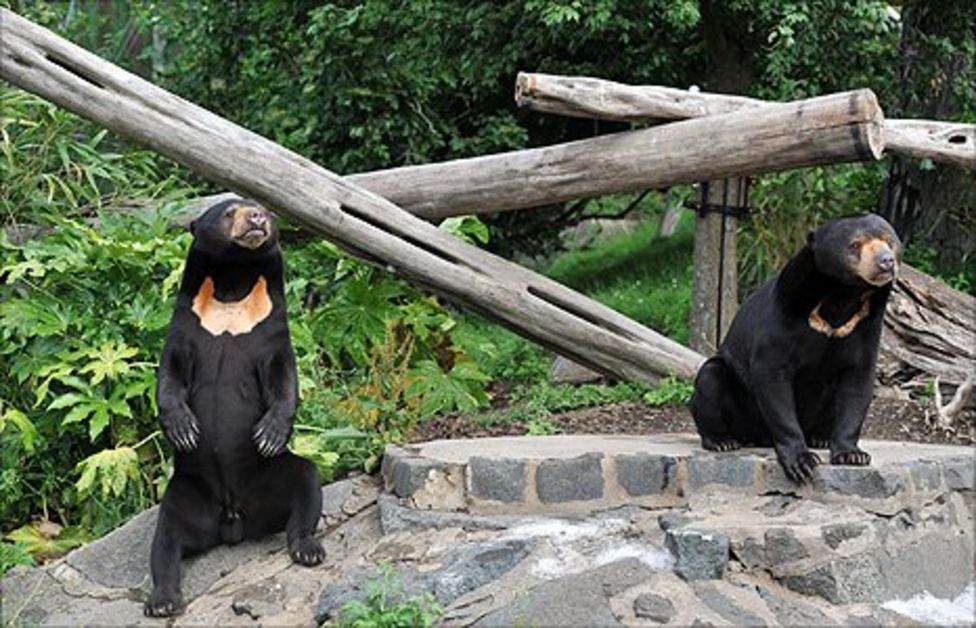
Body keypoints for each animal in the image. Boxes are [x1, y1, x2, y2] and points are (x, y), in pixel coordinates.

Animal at [145, 199, 324, 617]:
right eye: (230, 211)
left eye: (263, 209)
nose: (257, 219)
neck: (232, 285)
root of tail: (231, 520)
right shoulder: (188, 324)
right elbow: (171, 372)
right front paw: (184, 429)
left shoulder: (270, 327)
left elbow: (283, 376)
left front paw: (269, 435)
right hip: (186, 490)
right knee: (166, 538)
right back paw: (163, 600)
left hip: (269, 478)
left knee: (307, 482)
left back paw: (307, 549)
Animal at [690, 213, 901, 484]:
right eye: (855, 244)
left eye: (889, 240)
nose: (886, 261)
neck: (843, 294)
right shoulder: (786, 310)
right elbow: (772, 374)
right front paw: (802, 462)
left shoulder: (866, 323)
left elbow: (858, 380)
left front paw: (852, 455)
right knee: (710, 377)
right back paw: (722, 441)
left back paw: (820, 438)